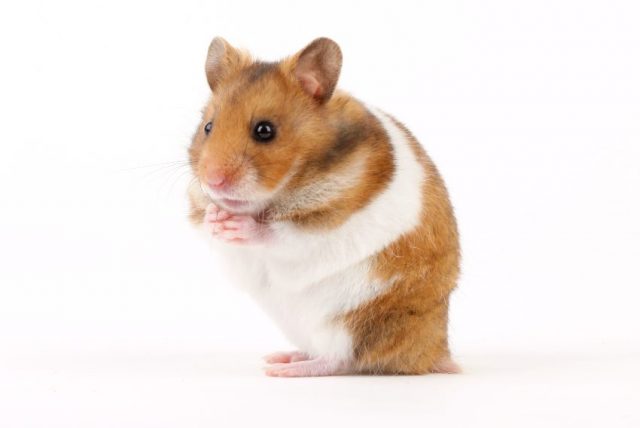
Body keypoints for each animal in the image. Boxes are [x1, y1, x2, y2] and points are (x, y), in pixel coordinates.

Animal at [187, 37, 461, 377]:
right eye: (208, 127)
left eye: (265, 130)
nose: (212, 181)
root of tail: (434, 352)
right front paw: (215, 217)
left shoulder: (322, 227)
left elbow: (279, 234)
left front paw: (239, 224)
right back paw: (282, 357)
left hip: (351, 323)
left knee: (342, 359)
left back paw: (284, 371)